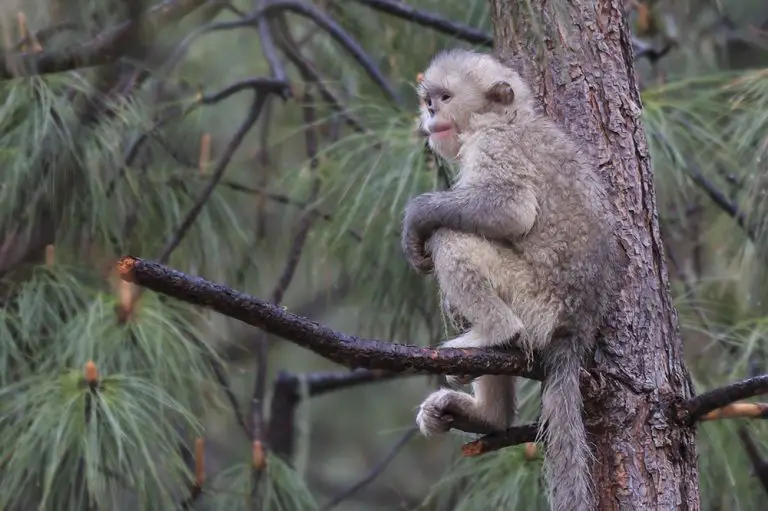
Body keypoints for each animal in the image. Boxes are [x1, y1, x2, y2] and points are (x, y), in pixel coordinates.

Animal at [401, 49, 624, 511]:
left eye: (445, 98)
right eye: (428, 100)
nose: (429, 114)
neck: (505, 118)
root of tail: (576, 328)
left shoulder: (495, 145)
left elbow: (511, 209)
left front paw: (418, 217)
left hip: (534, 300)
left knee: (454, 238)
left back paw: (493, 332)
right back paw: (488, 415)